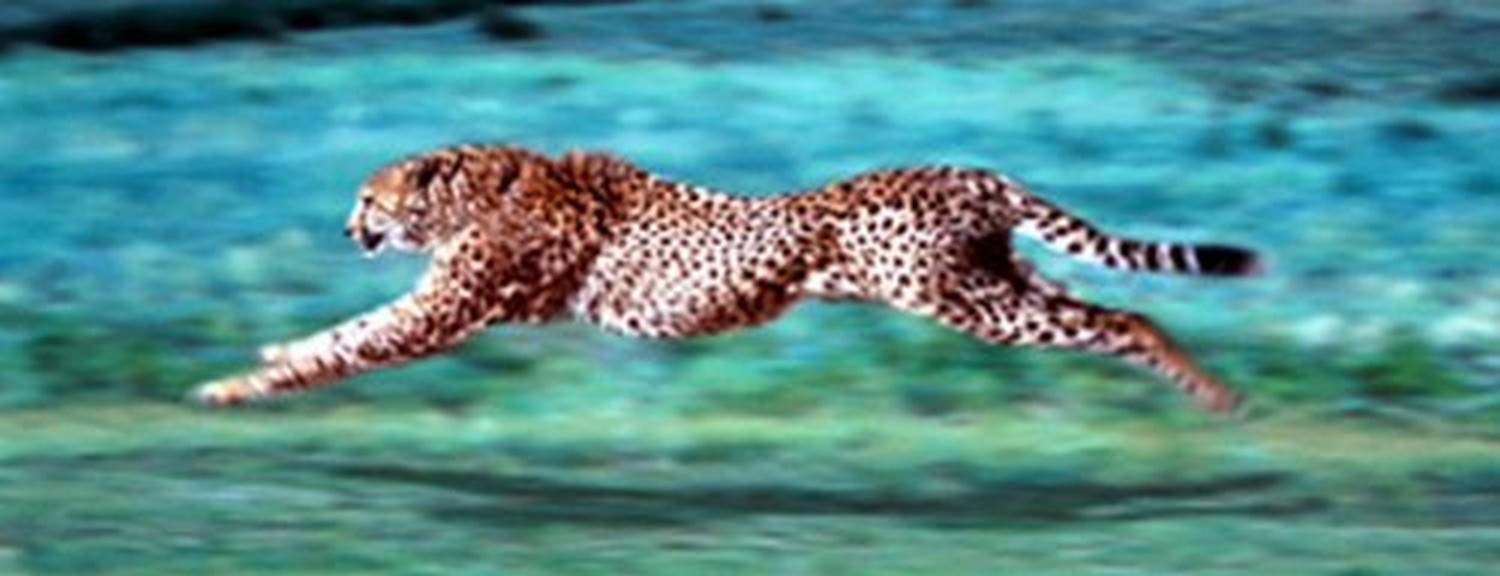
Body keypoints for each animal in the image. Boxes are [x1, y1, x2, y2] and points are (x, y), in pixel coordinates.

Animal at [192, 144, 1262, 413]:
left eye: (367, 198)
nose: (347, 226)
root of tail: (971, 170)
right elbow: (341, 333)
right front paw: (267, 350)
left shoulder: (441, 313)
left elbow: (354, 343)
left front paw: (236, 386)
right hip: (1000, 284)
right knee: (1106, 309)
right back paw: (1212, 390)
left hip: (968, 301)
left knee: (1123, 320)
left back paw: (1214, 396)